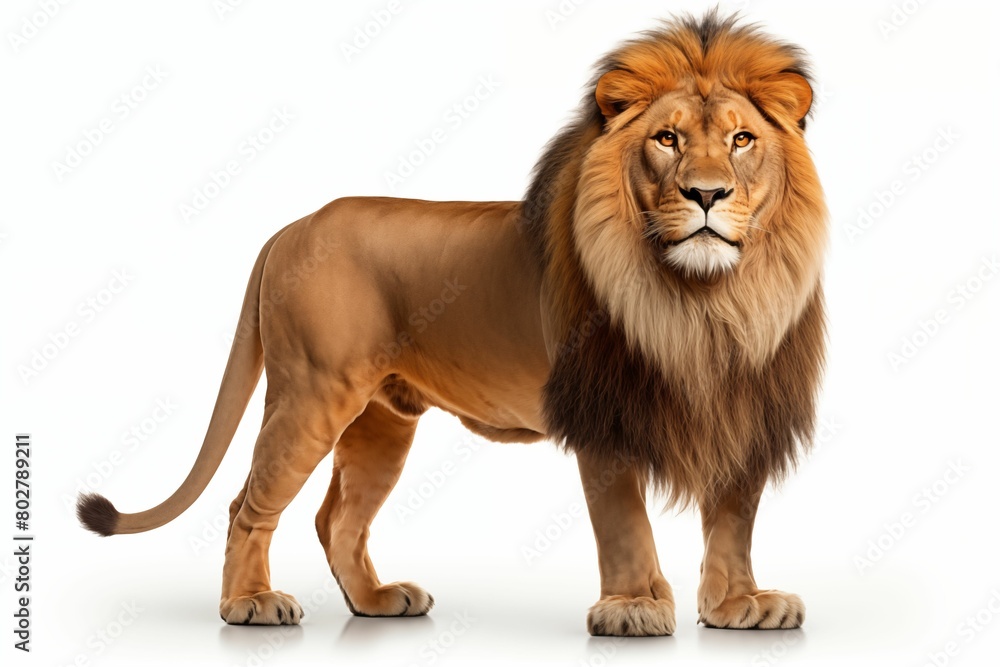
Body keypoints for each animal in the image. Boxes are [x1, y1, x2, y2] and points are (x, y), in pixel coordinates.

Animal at [78, 11, 826, 637]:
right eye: (667, 140)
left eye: (741, 140)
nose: (707, 194)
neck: (705, 301)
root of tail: (293, 226)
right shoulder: (600, 414)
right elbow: (623, 522)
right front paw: (633, 607)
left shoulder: (747, 407)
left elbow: (733, 520)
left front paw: (738, 605)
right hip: (311, 392)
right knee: (248, 505)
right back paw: (249, 603)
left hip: (382, 418)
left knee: (337, 518)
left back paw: (376, 601)